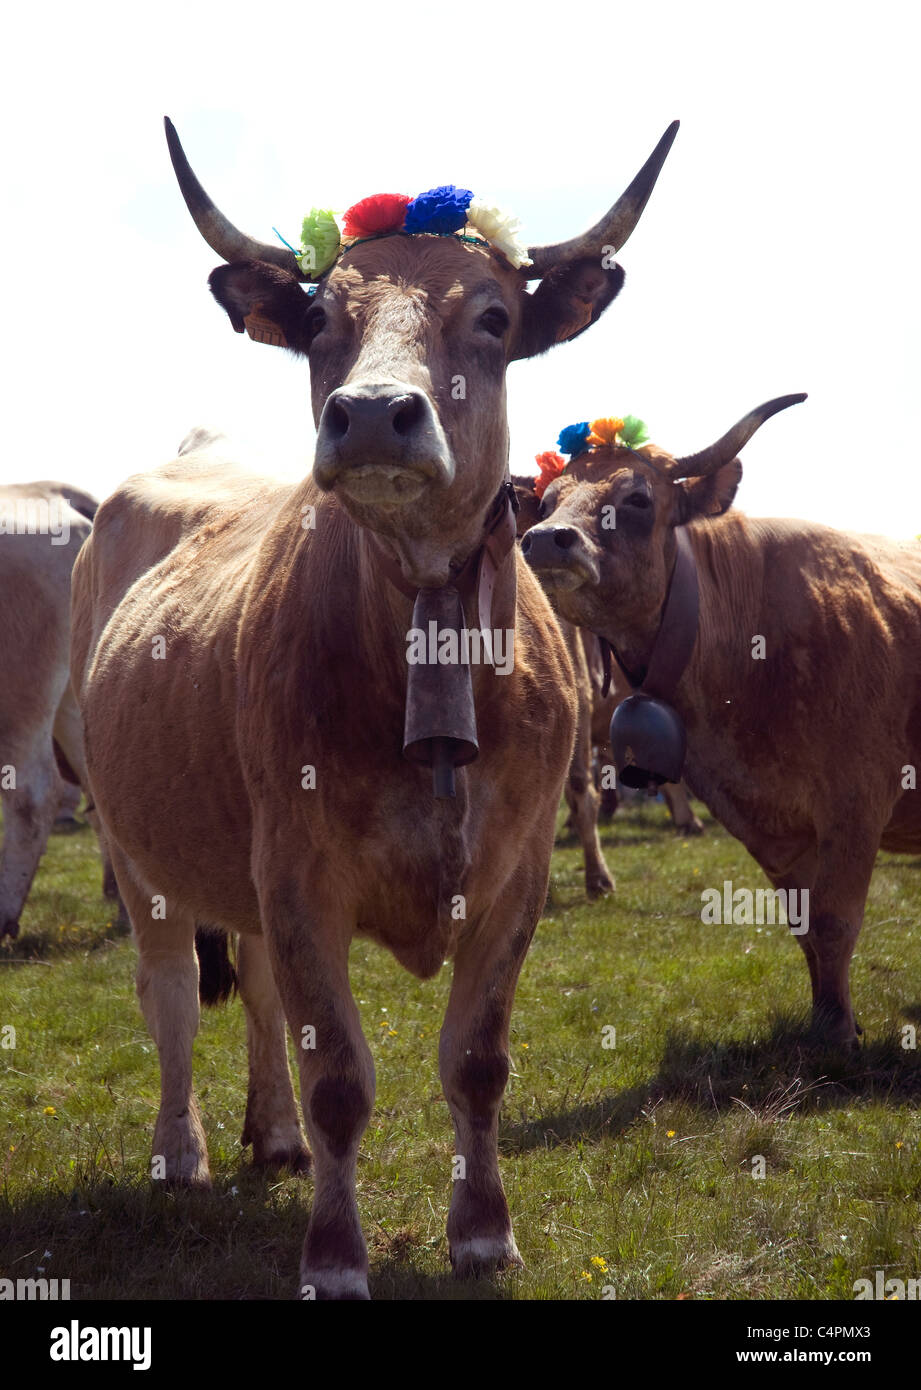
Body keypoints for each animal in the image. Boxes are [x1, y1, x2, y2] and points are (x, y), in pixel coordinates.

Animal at [69, 118, 678, 1299]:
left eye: (492, 318)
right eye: (319, 323)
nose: (370, 417)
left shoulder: (514, 869)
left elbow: (476, 1061)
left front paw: (482, 1231)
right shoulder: (303, 874)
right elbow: (341, 1077)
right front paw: (335, 1256)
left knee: (256, 985)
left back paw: (274, 1136)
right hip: (134, 842)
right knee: (170, 989)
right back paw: (183, 1150)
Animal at [521, 395, 921, 1048]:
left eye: (637, 498)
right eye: (549, 499)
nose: (544, 541)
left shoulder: (857, 802)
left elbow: (833, 920)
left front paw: (839, 1033)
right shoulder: (770, 826)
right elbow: (805, 925)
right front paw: (825, 1016)